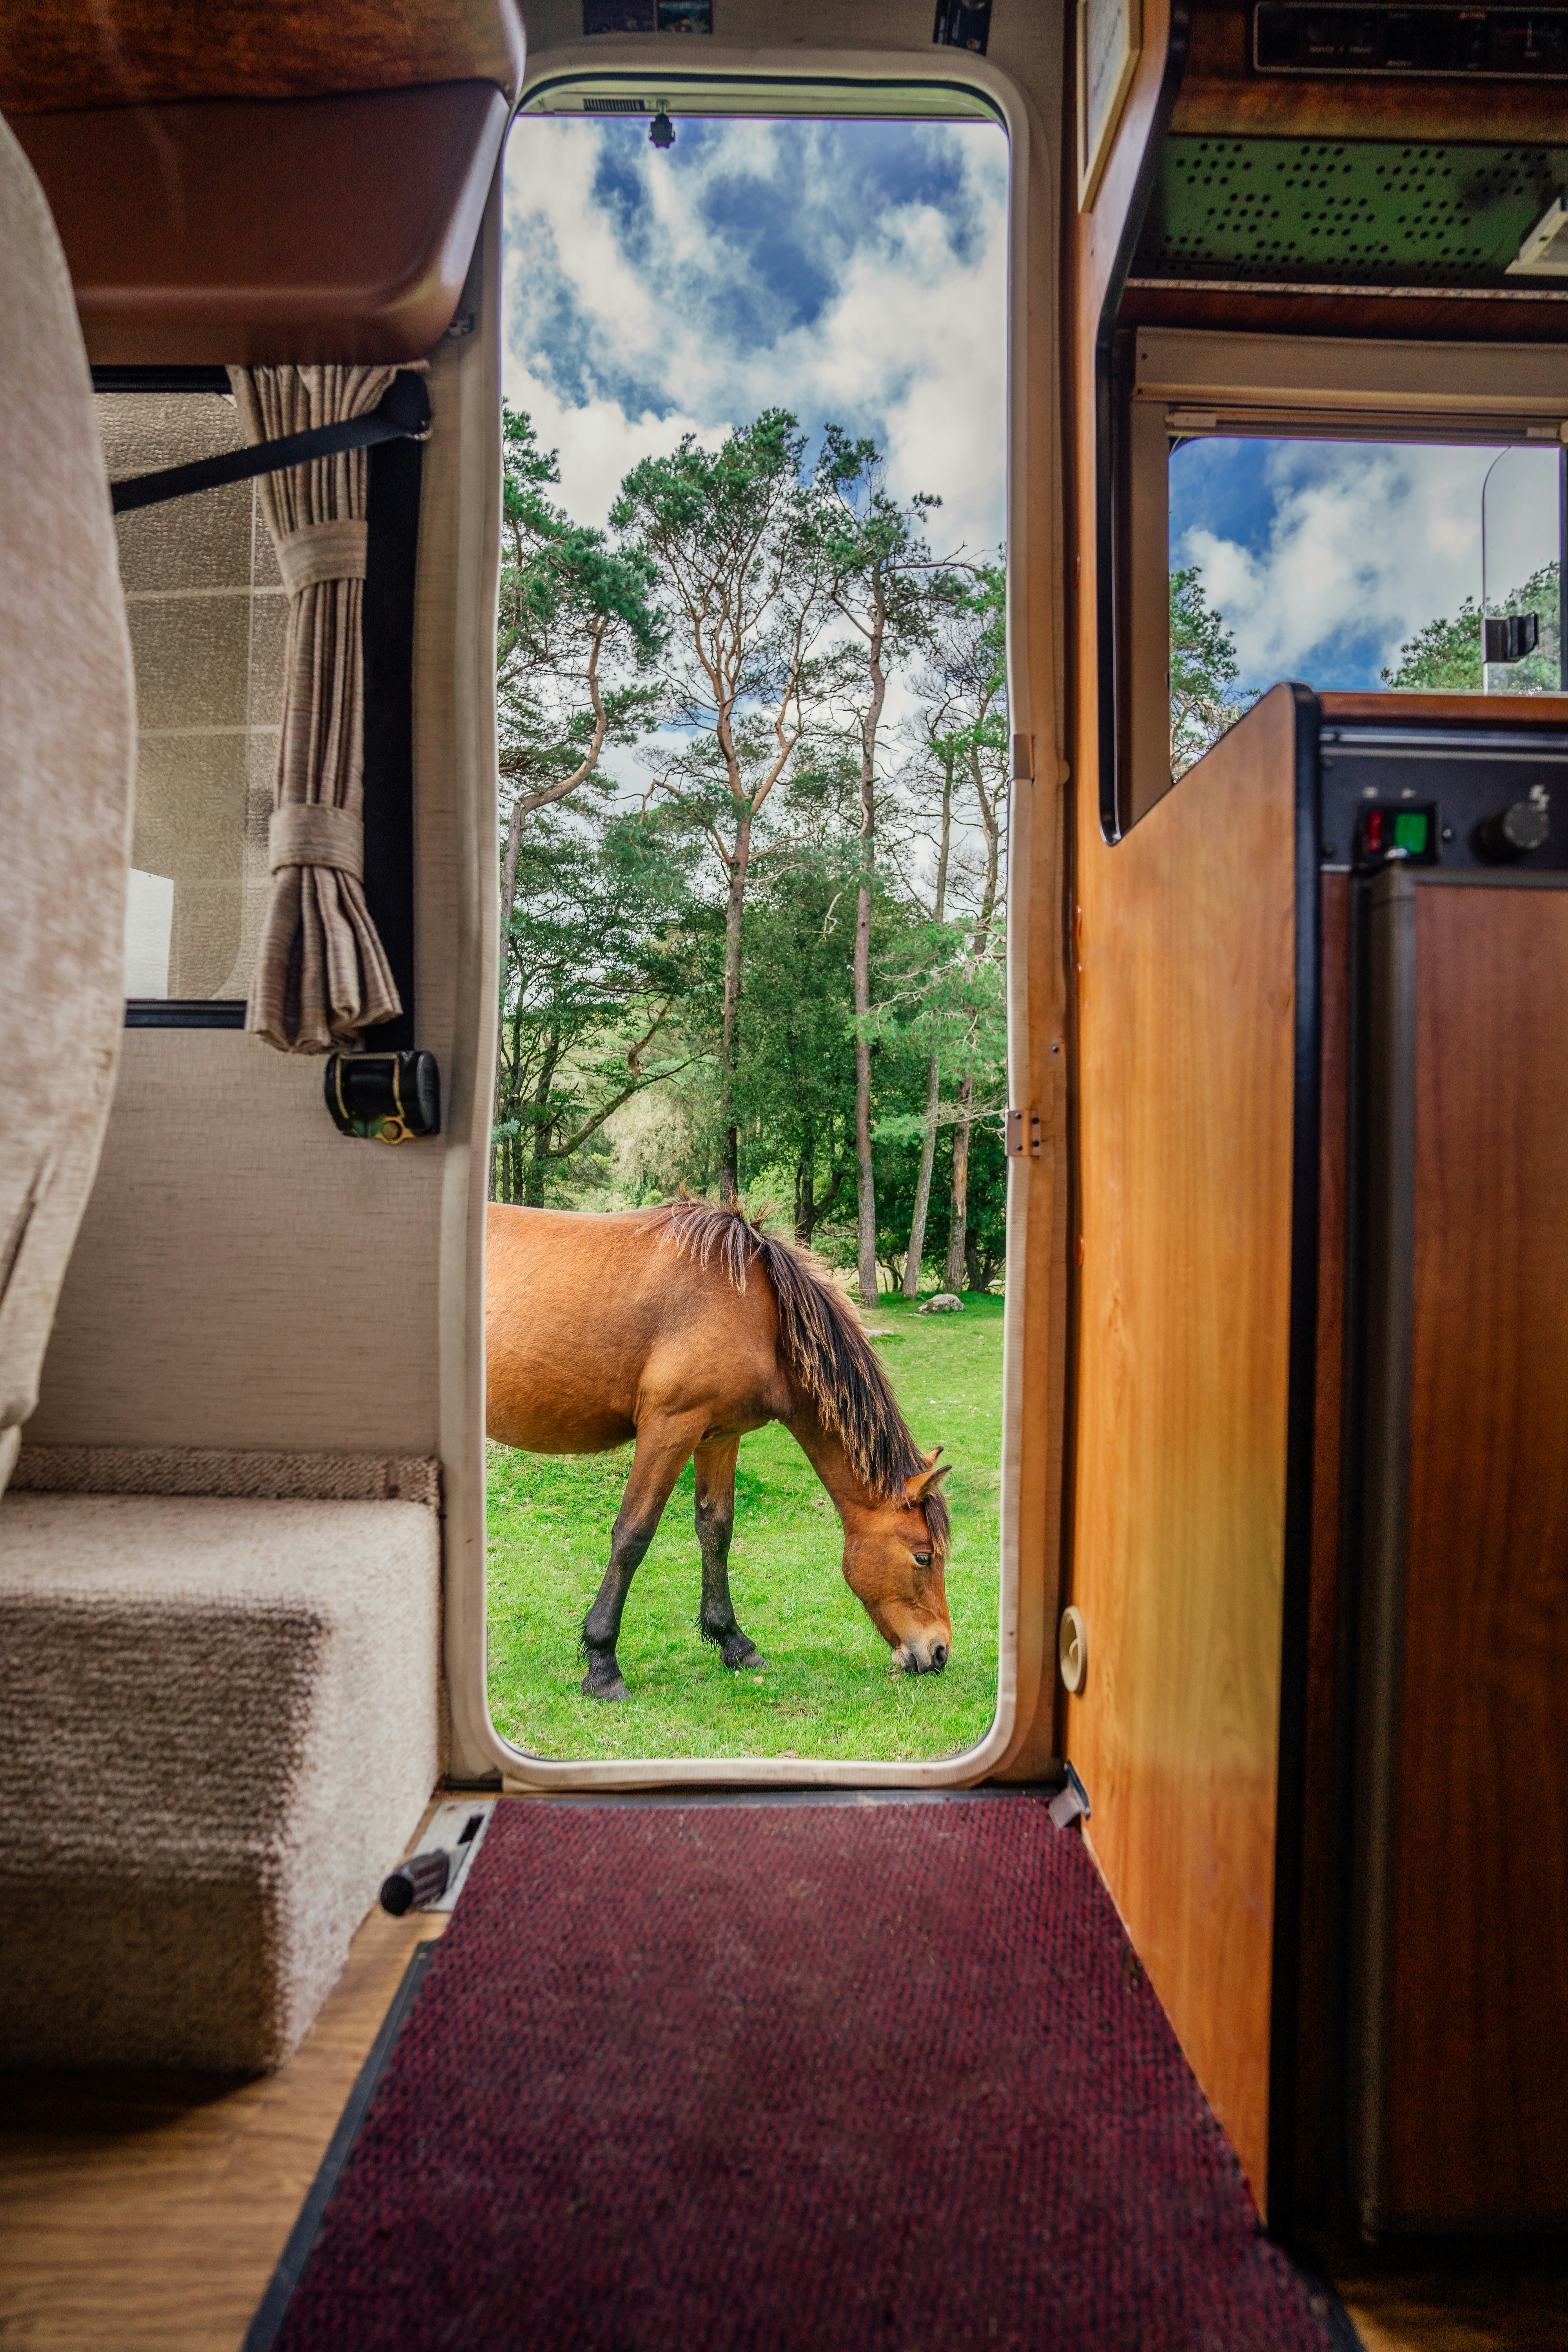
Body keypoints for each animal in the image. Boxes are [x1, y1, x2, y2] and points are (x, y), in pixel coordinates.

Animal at [485, 1198, 953, 1701]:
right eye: (923, 1557)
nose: (939, 1653)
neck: (757, 1308)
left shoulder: (718, 1436)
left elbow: (716, 1530)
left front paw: (733, 1641)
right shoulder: (670, 1427)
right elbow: (633, 1536)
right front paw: (602, 1661)